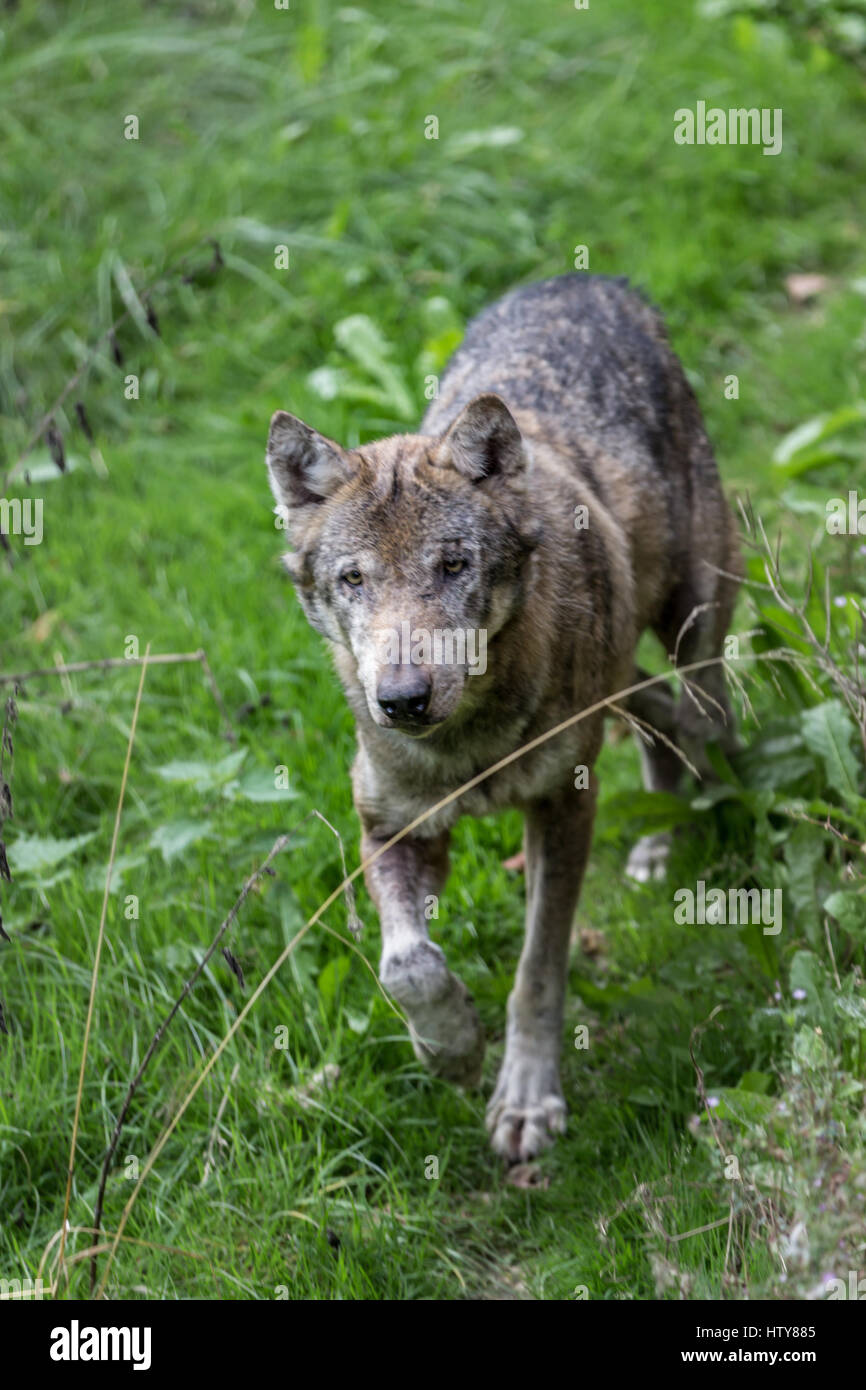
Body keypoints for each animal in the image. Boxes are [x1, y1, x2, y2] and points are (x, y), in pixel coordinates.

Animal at [265, 274, 742, 1162]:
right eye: (353, 579)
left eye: (454, 565)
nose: (402, 700)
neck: (468, 748)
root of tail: (589, 281)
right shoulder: (391, 829)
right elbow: (406, 967)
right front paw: (450, 1047)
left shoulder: (563, 807)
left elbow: (537, 971)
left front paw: (526, 1099)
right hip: (623, 669)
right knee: (654, 714)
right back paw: (660, 839)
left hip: (691, 627)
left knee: (701, 712)